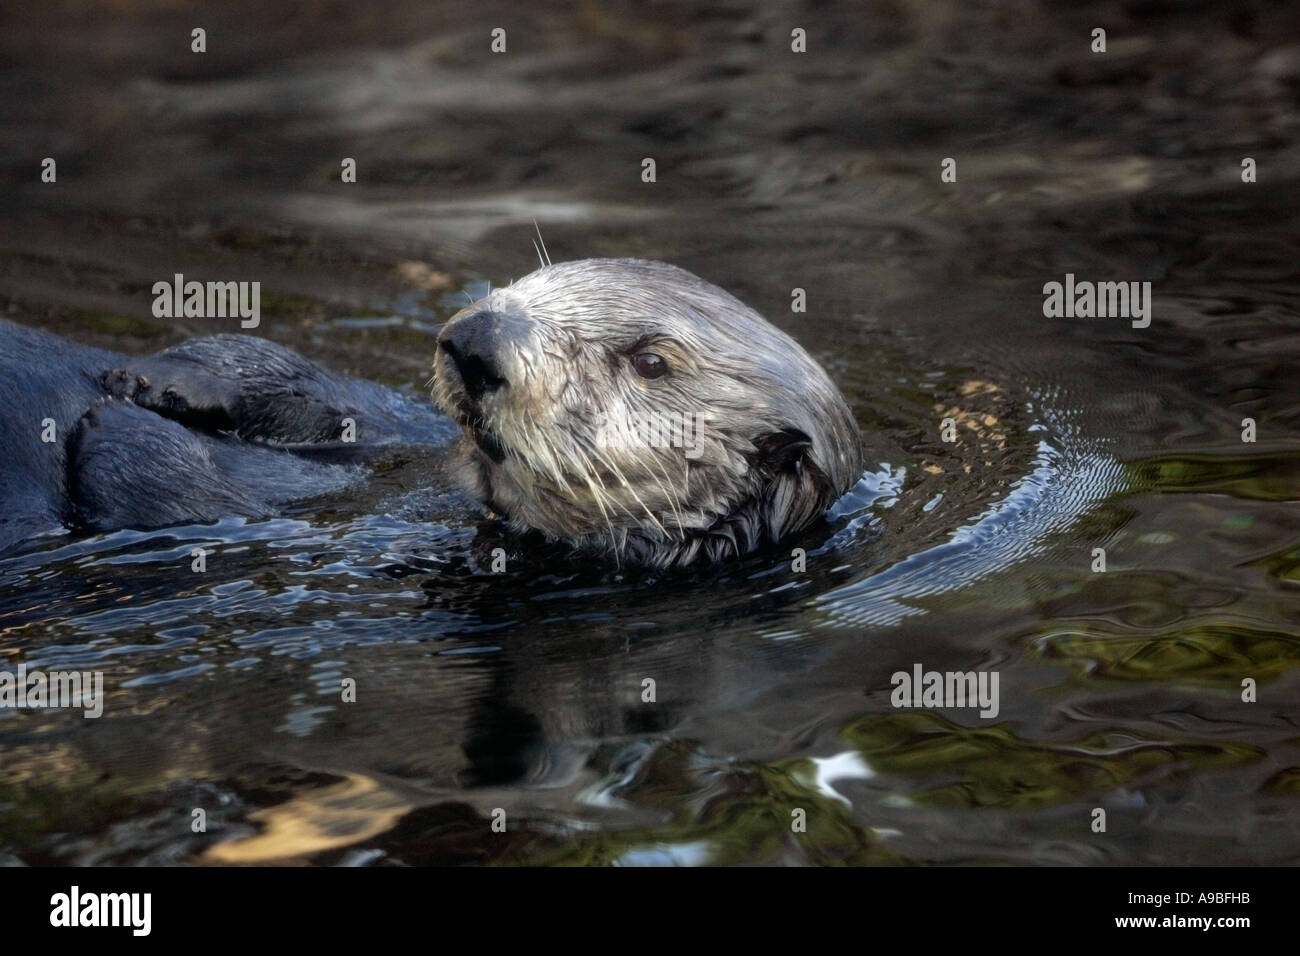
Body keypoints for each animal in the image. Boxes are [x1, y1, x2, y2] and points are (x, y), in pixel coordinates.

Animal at [0, 259, 862, 566]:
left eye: (651, 362)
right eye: (540, 279)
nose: (478, 342)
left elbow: (168, 491)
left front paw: (123, 423)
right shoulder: (395, 428)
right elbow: (322, 389)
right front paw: (167, 378)